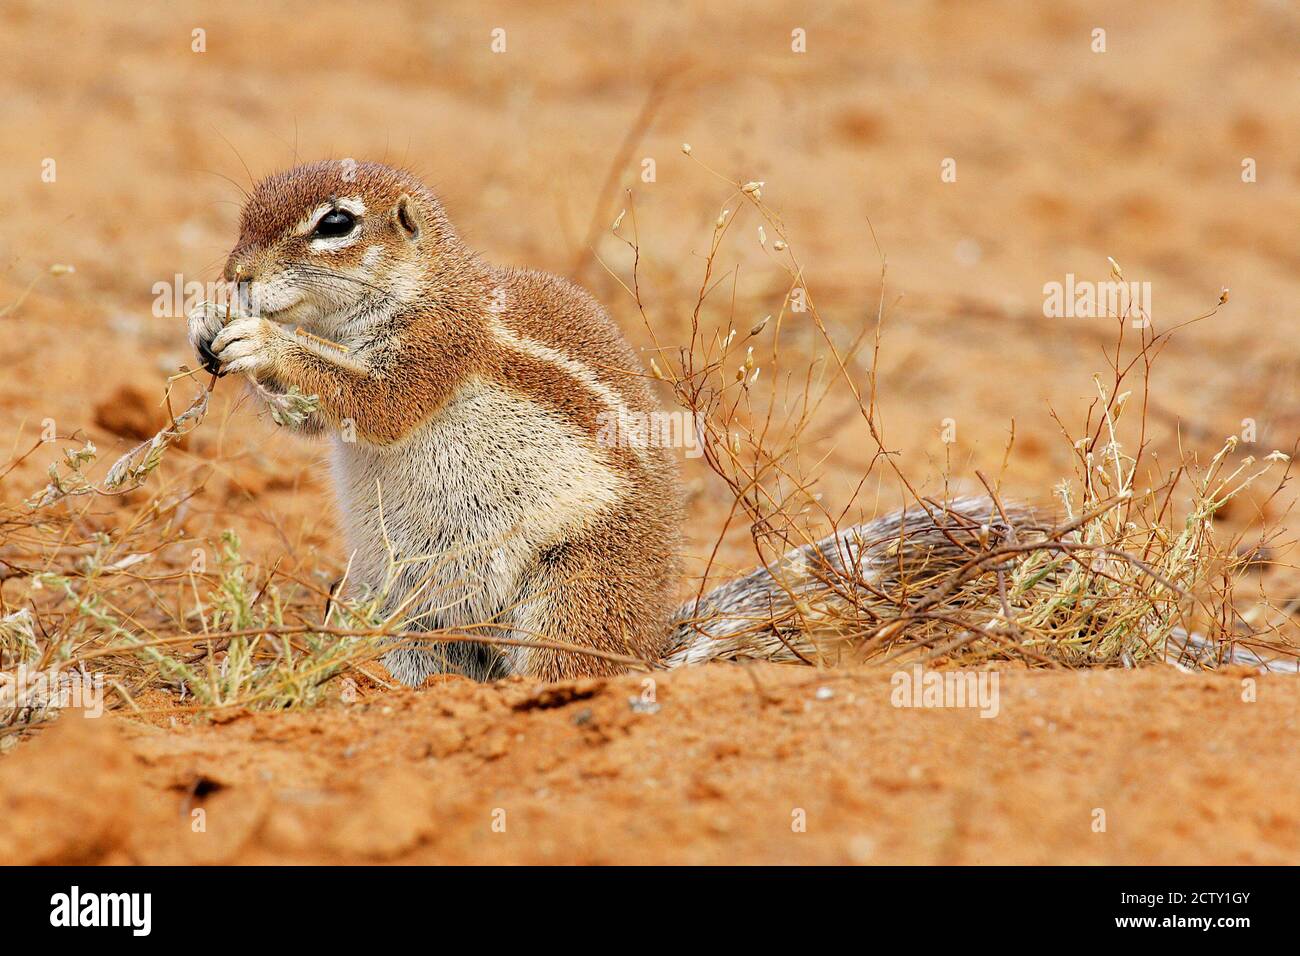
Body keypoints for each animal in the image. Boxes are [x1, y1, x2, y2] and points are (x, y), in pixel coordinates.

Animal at [189, 160, 1026, 684]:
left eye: (336, 223)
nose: (236, 274)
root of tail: (647, 644)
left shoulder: (441, 346)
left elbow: (381, 405)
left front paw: (261, 340)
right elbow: (316, 420)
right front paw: (208, 328)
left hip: (573, 586)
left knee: (565, 669)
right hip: (405, 608)